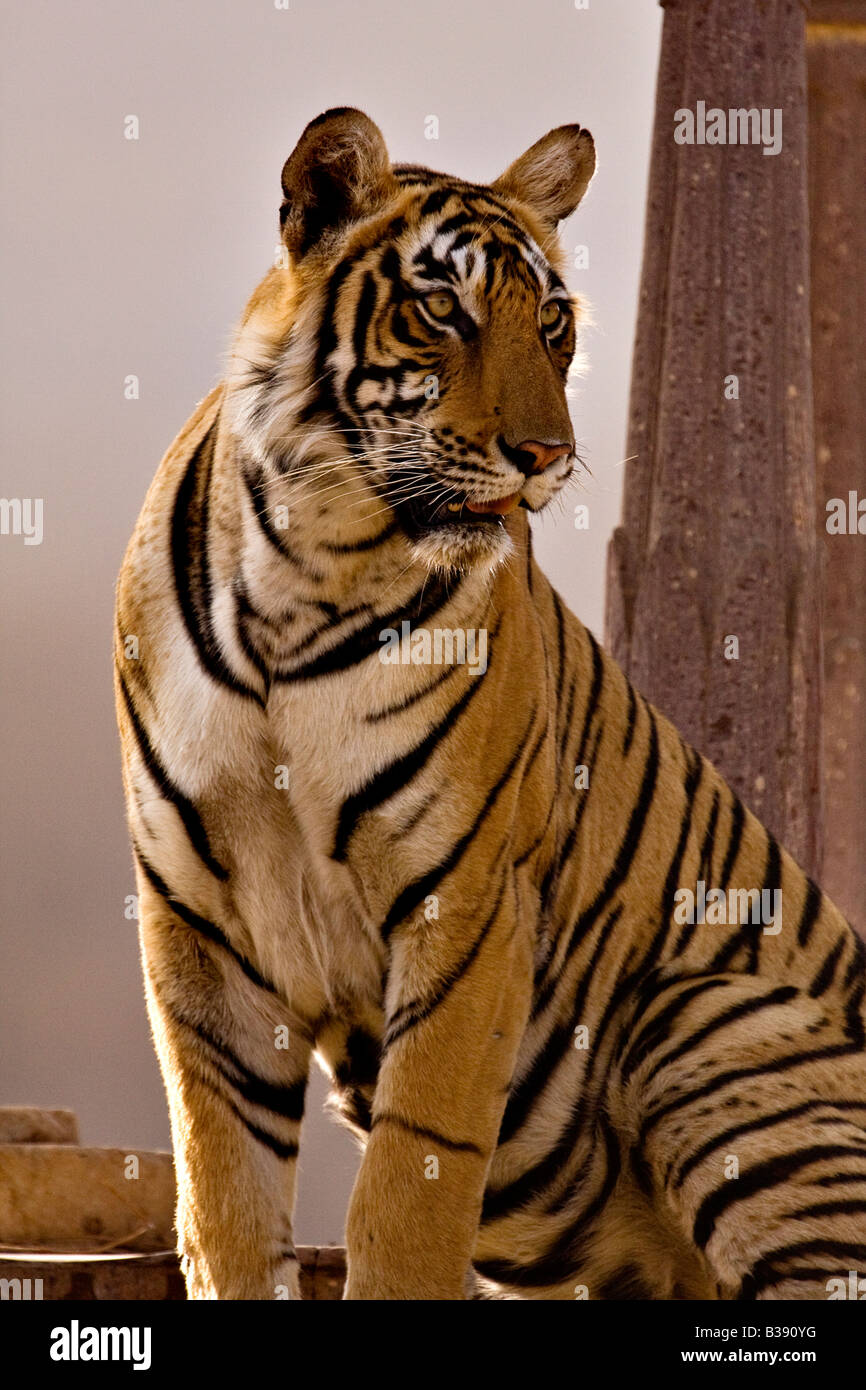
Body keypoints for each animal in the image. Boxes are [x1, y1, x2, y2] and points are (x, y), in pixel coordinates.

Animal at [114, 107, 866, 1301]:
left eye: (552, 321)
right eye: (440, 310)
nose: (546, 455)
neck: (304, 575)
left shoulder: (463, 903)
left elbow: (410, 1193)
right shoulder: (198, 921)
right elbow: (223, 1196)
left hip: (703, 1013)